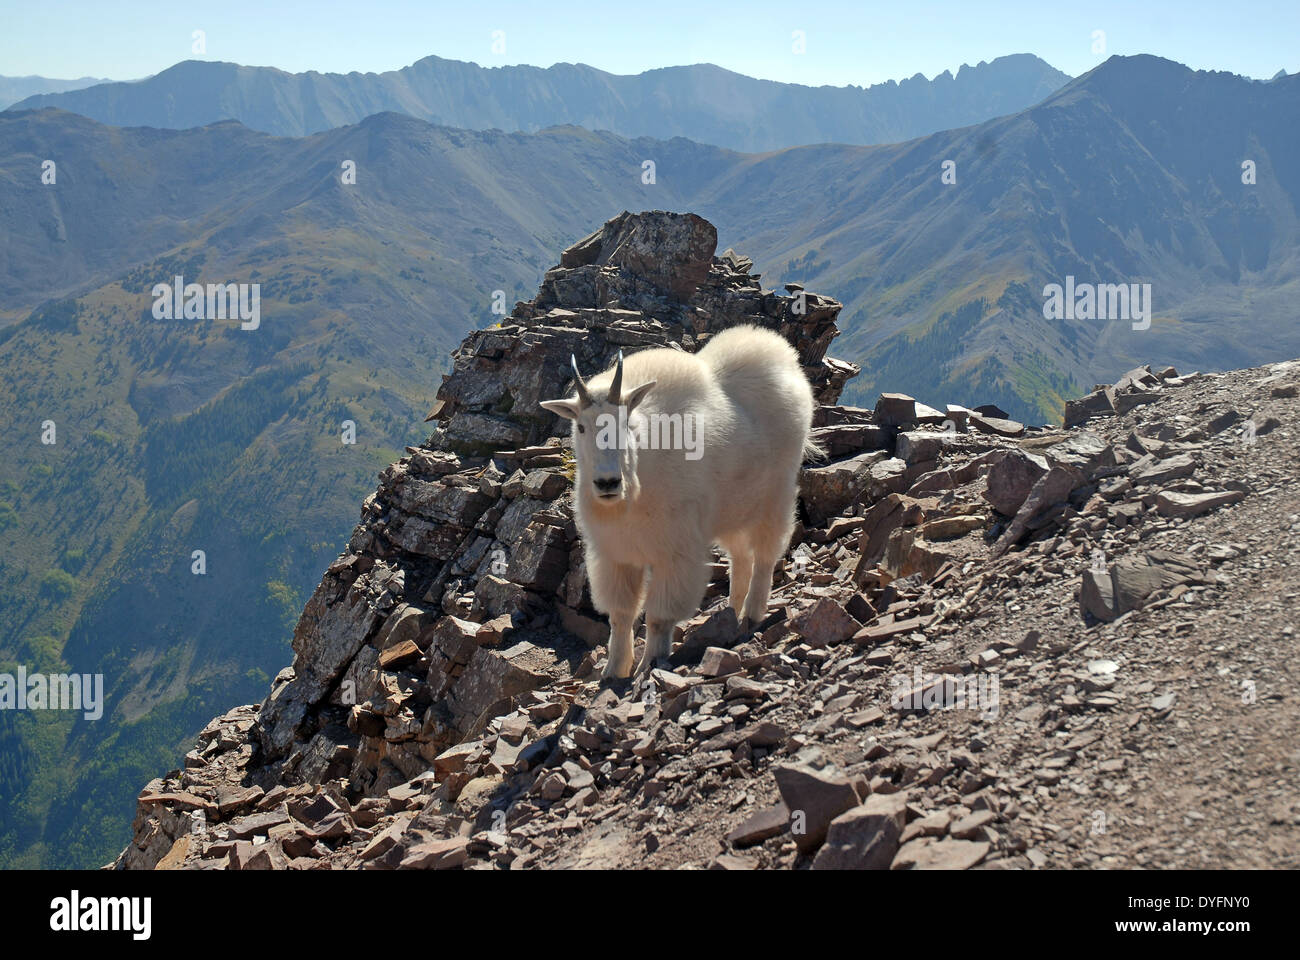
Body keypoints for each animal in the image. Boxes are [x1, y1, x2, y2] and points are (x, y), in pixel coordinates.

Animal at [540, 325, 821, 678]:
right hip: (733, 511)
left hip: (776, 494)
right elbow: (621, 615)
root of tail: (782, 355)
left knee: (766, 554)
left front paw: (649, 665)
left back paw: (752, 614)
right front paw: (614, 671)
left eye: (626, 423)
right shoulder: (615, 554)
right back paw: (731, 610)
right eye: (580, 426)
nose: (607, 483)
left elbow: (659, 616)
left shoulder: (674, 552)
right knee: (740, 557)